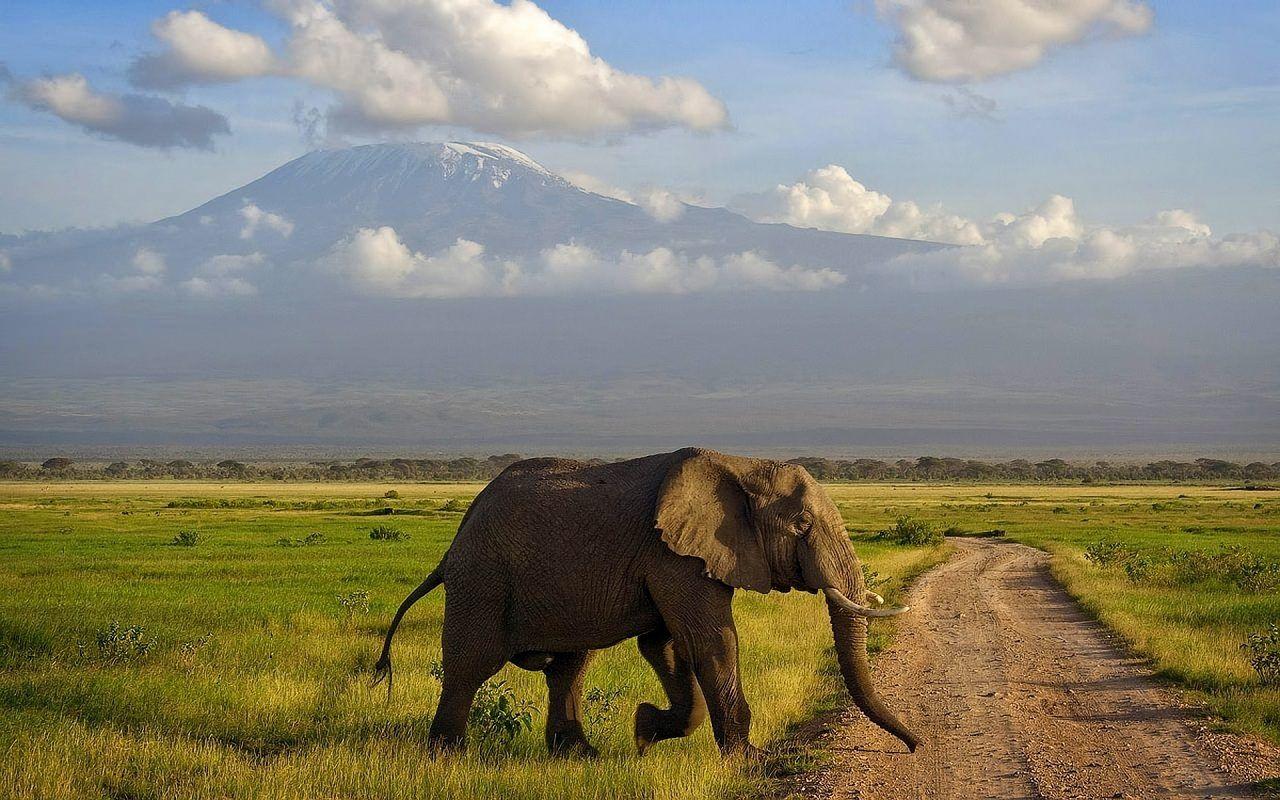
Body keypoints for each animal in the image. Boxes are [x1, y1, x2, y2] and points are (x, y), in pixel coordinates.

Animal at [372, 447, 918, 757]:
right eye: (802, 526)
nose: (913, 747)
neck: (744, 467)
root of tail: (455, 540)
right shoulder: (672, 554)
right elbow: (709, 642)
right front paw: (751, 761)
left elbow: (666, 647)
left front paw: (642, 731)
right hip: (483, 578)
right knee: (470, 665)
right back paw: (445, 757)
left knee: (570, 666)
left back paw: (580, 756)